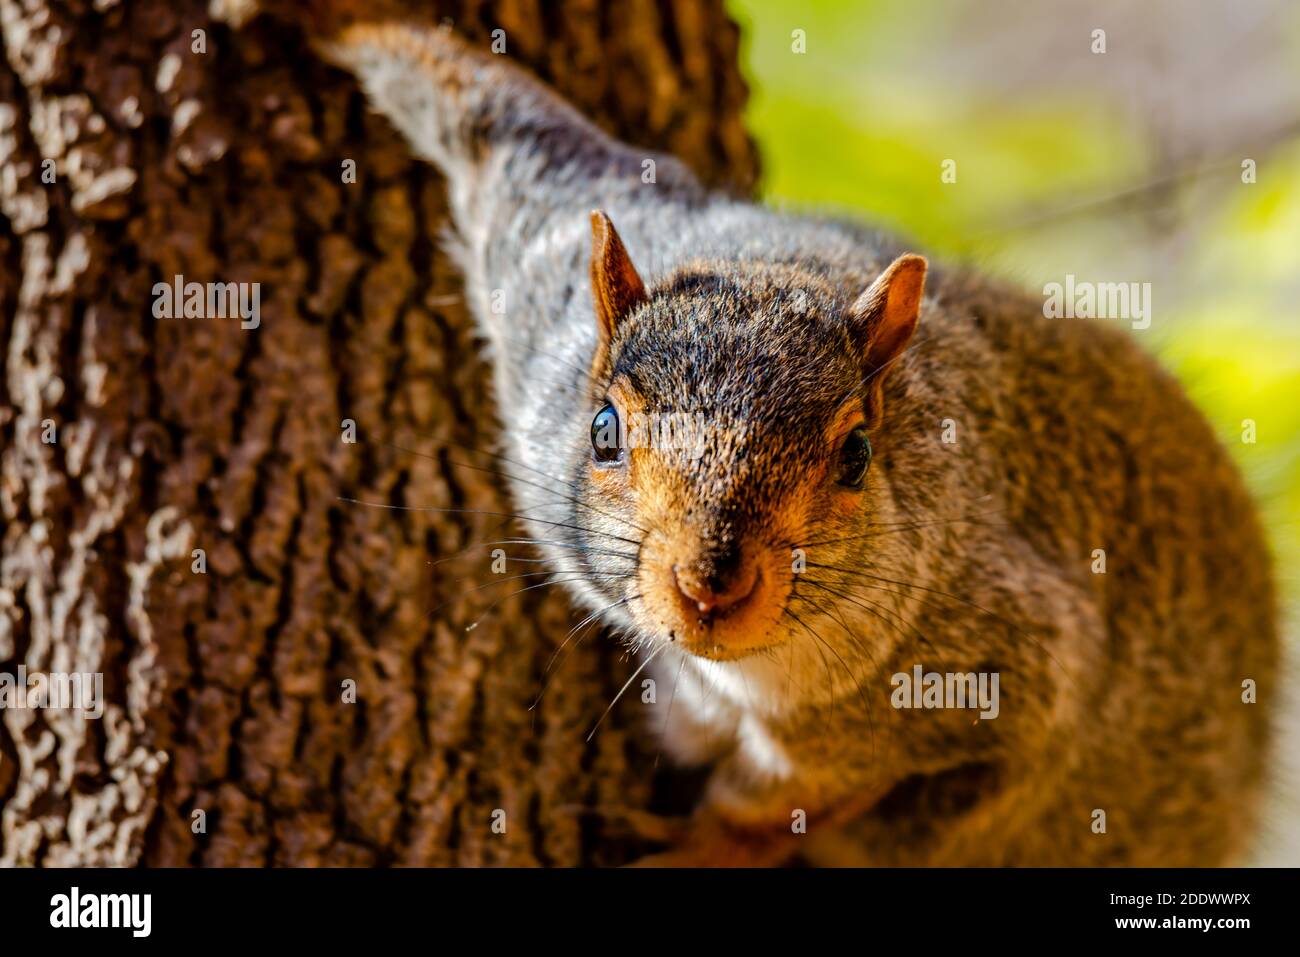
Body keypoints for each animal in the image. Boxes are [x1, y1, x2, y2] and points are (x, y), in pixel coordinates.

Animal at [272, 4, 1279, 866]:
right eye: (601, 429)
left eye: (856, 456)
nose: (711, 583)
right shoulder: (540, 288)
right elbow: (500, 122)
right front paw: (337, 18)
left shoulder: (1000, 663)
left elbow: (796, 796)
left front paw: (704, 846)